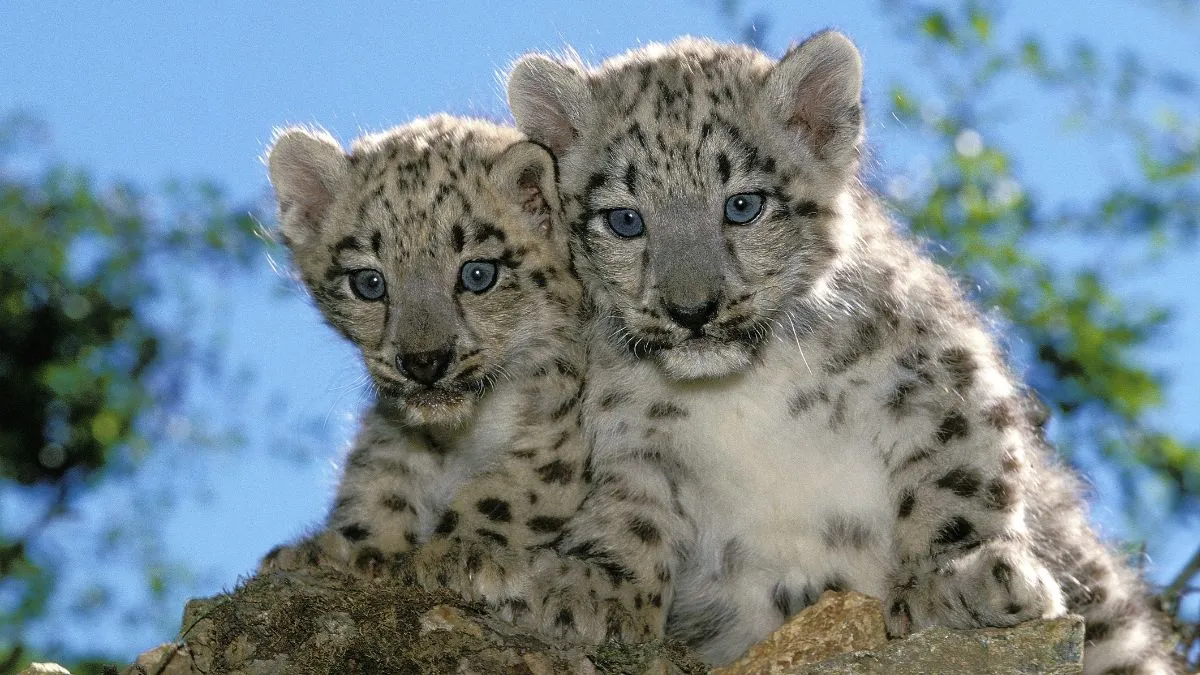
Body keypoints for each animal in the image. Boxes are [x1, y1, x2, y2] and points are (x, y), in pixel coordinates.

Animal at [258, 115, 656, 643]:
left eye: (478, 274)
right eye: (369, 283)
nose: (424, 361)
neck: (460, 436)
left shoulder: (557, 434)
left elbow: (509, 490)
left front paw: (458, 554)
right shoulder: (392, 425)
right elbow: (379, 477)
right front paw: (341, 547)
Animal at [507, 31, 1178, 672]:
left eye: (743, 205)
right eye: (624, 220)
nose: (692, 310)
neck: (738, 390)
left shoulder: (937, 372)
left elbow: (962, 471)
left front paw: (954, 580)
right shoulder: (625, 432)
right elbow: (626, 507)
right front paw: (590, 587)